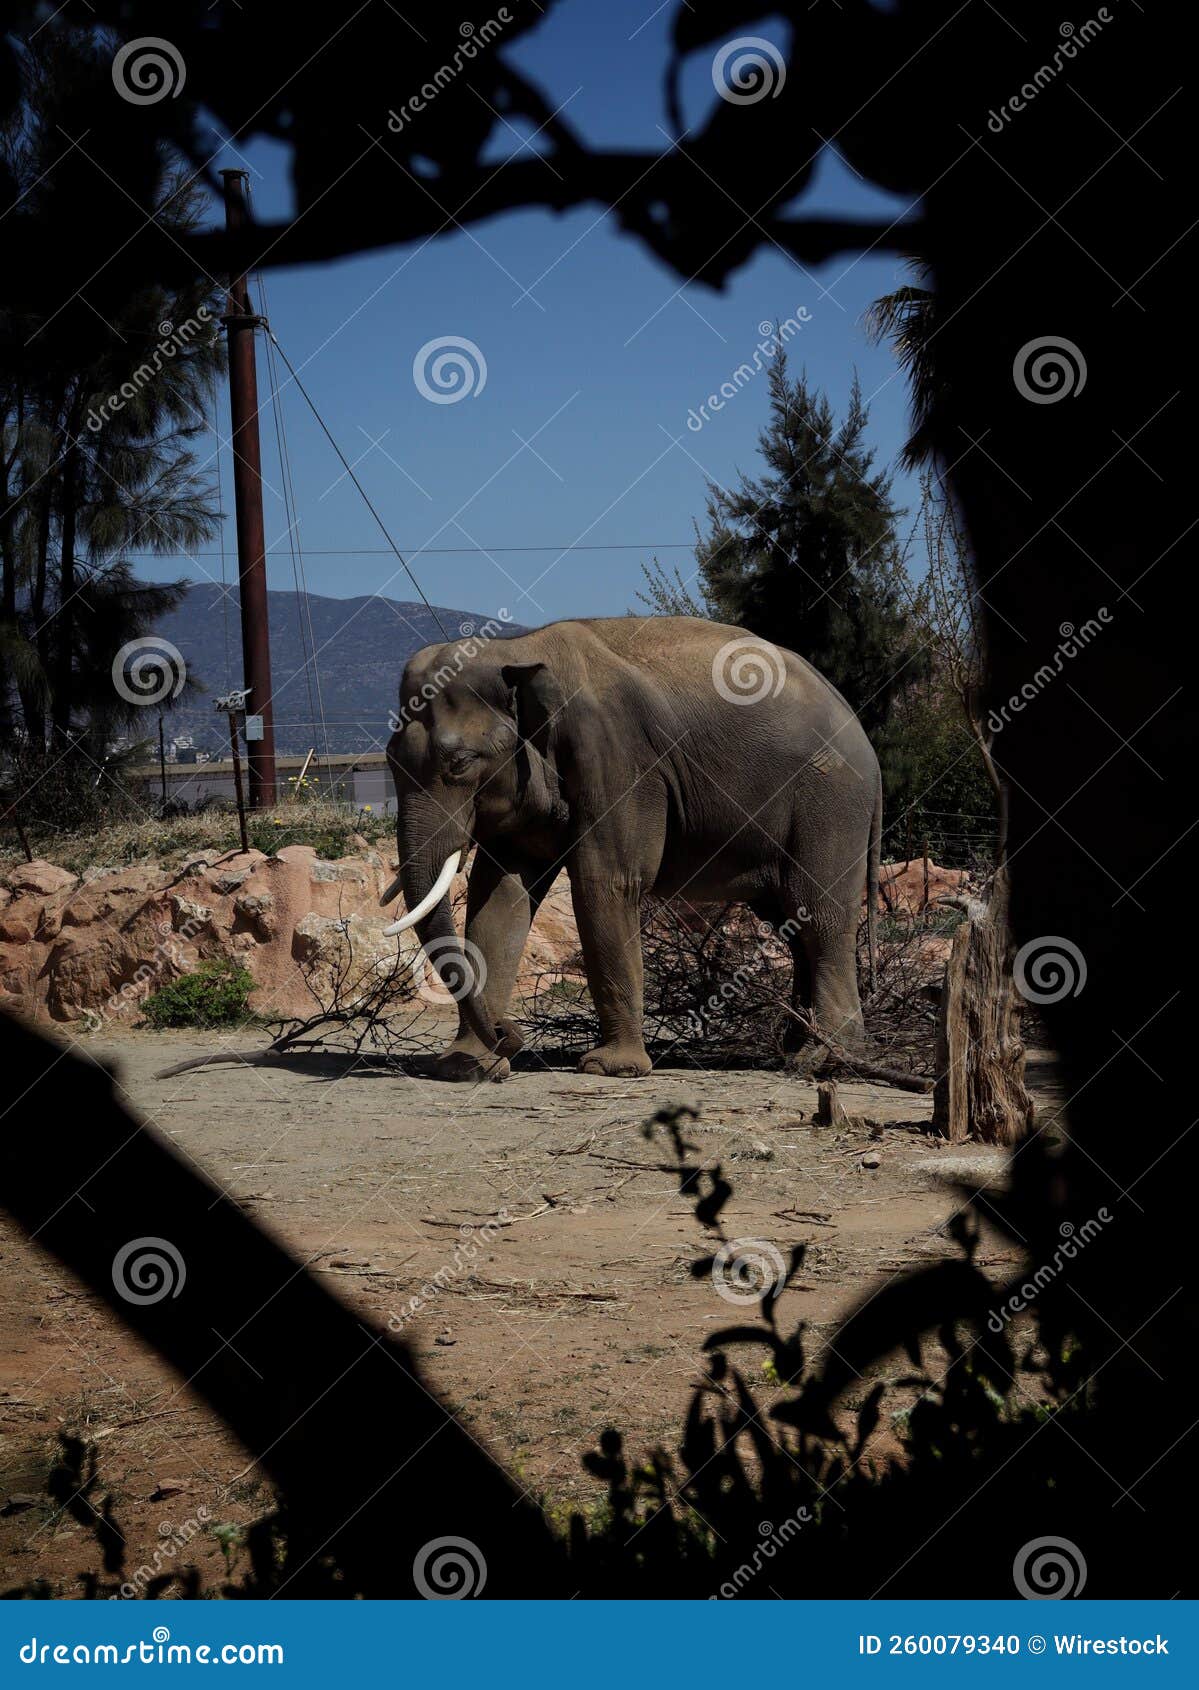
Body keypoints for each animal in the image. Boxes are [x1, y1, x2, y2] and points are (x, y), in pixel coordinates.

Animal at [381, 616, 881, 1081]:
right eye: (388, 761)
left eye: (461, 763)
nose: (510, 1033)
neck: (518, 651)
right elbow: (498, 898)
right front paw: (466, 1067)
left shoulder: (619, 760)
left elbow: (607, 884)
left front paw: (610, 1069)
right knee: (790, 923)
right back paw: (794, 1049)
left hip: (831, 803)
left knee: (819, 916)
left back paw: (827, 1061)